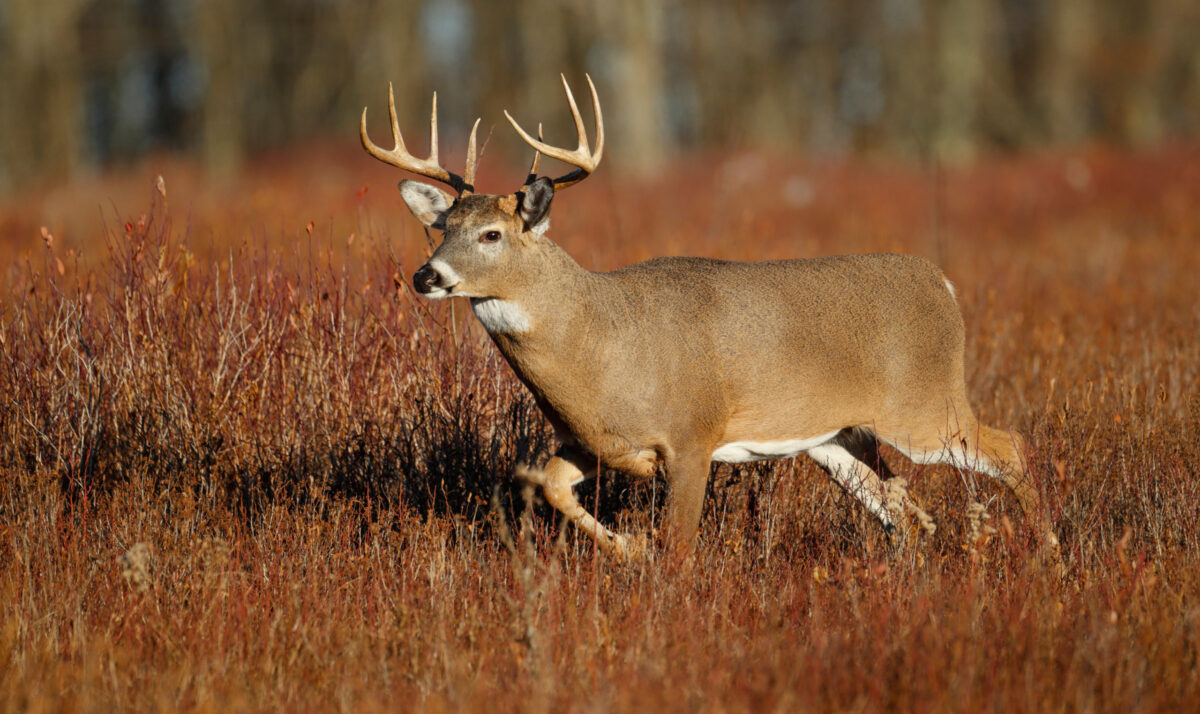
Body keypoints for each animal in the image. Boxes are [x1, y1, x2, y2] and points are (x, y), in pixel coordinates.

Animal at [360, 76, 1058, 560]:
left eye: (492, 234)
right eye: (442, 229)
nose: (426, 276)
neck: (601, 343)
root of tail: (941, 282)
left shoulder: (692, 435)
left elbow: (682, 548)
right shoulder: (591, 441)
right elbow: (545, 483)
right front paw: (630, 550)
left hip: (925, 406)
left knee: (1010, 448)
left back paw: (1048, 553)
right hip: (836, 436)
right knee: (897, 499)